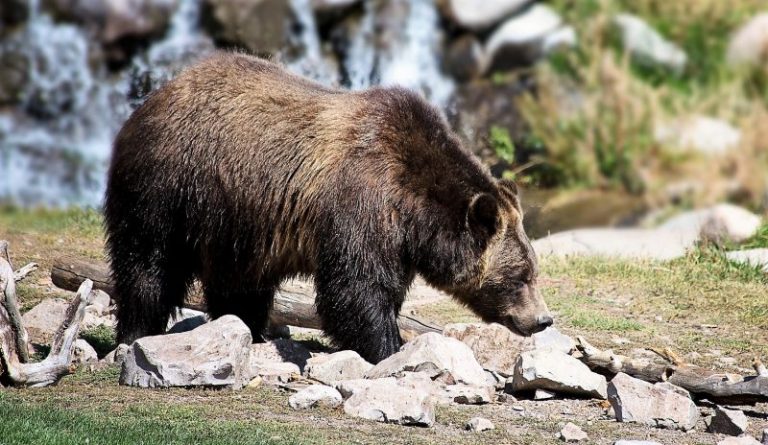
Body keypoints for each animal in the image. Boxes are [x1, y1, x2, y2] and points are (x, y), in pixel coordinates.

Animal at [104, 52, 552, 364]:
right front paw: (389, 347)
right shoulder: (363, 202)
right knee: (149, 262)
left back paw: (248, 329)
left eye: (533, 271)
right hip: (170, 185)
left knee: (240, 282)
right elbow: (356, 288)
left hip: (236, 219)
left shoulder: (396, 239)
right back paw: (137, 332)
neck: (414, 209)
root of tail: (154, 96)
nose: (542, 320)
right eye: (521, 277)